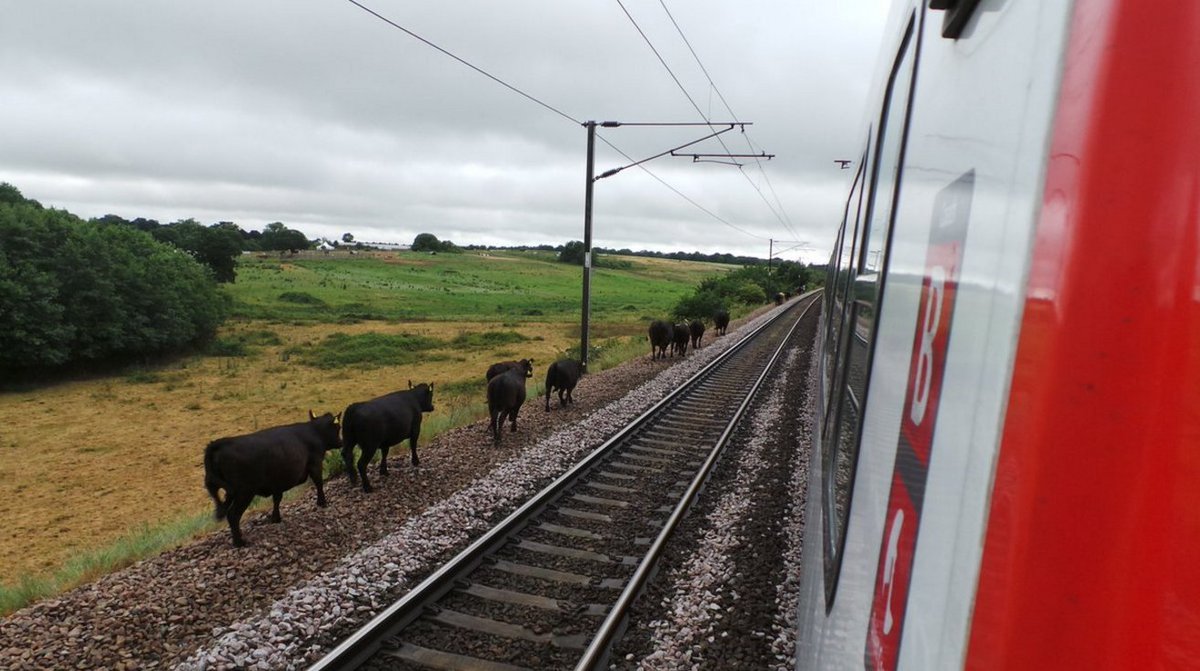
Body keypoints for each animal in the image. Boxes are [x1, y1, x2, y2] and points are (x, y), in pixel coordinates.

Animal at [203, 410, 342, 547]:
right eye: (338, 427)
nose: (341, 442)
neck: (314, 431)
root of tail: (220, 443)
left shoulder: (277, 482)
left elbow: (277, 499)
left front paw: (275, 518)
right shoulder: (315, 464)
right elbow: (319, 483)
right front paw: (322, 502)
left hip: (231, 491)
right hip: (244, 492)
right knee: (233, 515)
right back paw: (239, 542)